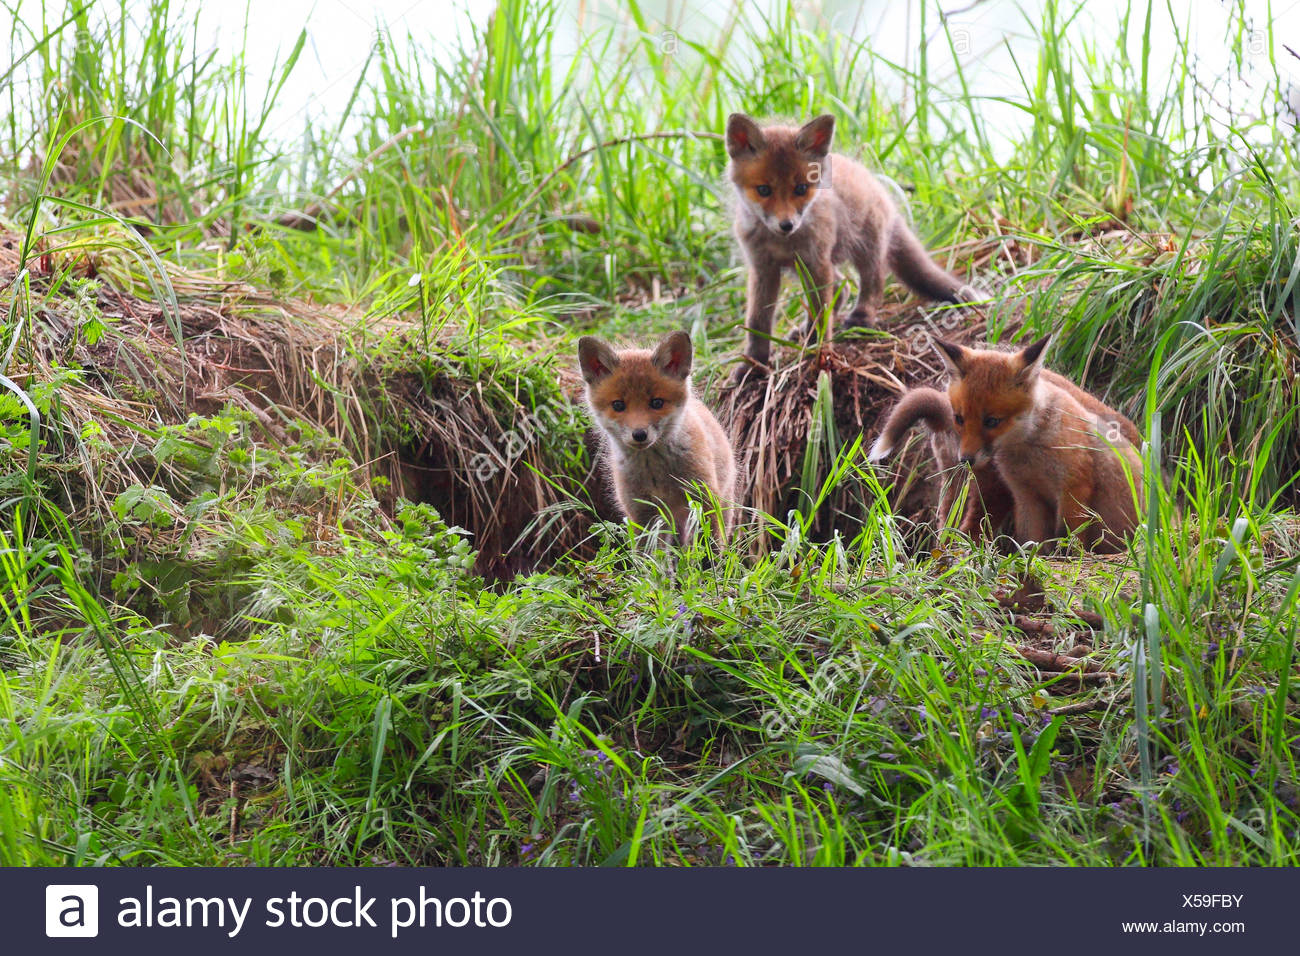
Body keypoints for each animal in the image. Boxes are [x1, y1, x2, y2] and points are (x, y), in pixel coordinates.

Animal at [578, 330, 736, 545]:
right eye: (618, 405)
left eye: (657, 403)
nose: (639, 434)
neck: (655, 472)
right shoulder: (642, 513)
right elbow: (645, 554)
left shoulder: (704, 499)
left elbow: (710, 547)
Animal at [725, 111, 982, 381]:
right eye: (764, 190)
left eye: (801, 189)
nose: (787, 225)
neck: (781, 241)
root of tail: (879, 188)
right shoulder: (763, 268)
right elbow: (757, 321)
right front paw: (753, 364)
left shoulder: (816, 262)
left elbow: (820, 314)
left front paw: (818, 353)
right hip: (802, 267)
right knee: (843, 286)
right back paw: (804, 331)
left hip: (864, 250)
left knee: (873, 284)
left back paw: (861, 318)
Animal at [868, 337, 1143, 552]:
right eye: (960, 418)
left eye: (992, 421)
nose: (965, 459)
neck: (1028, 453)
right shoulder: (1025, 495)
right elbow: (1032, 541)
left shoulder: (1074, 488)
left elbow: (1069, 537)